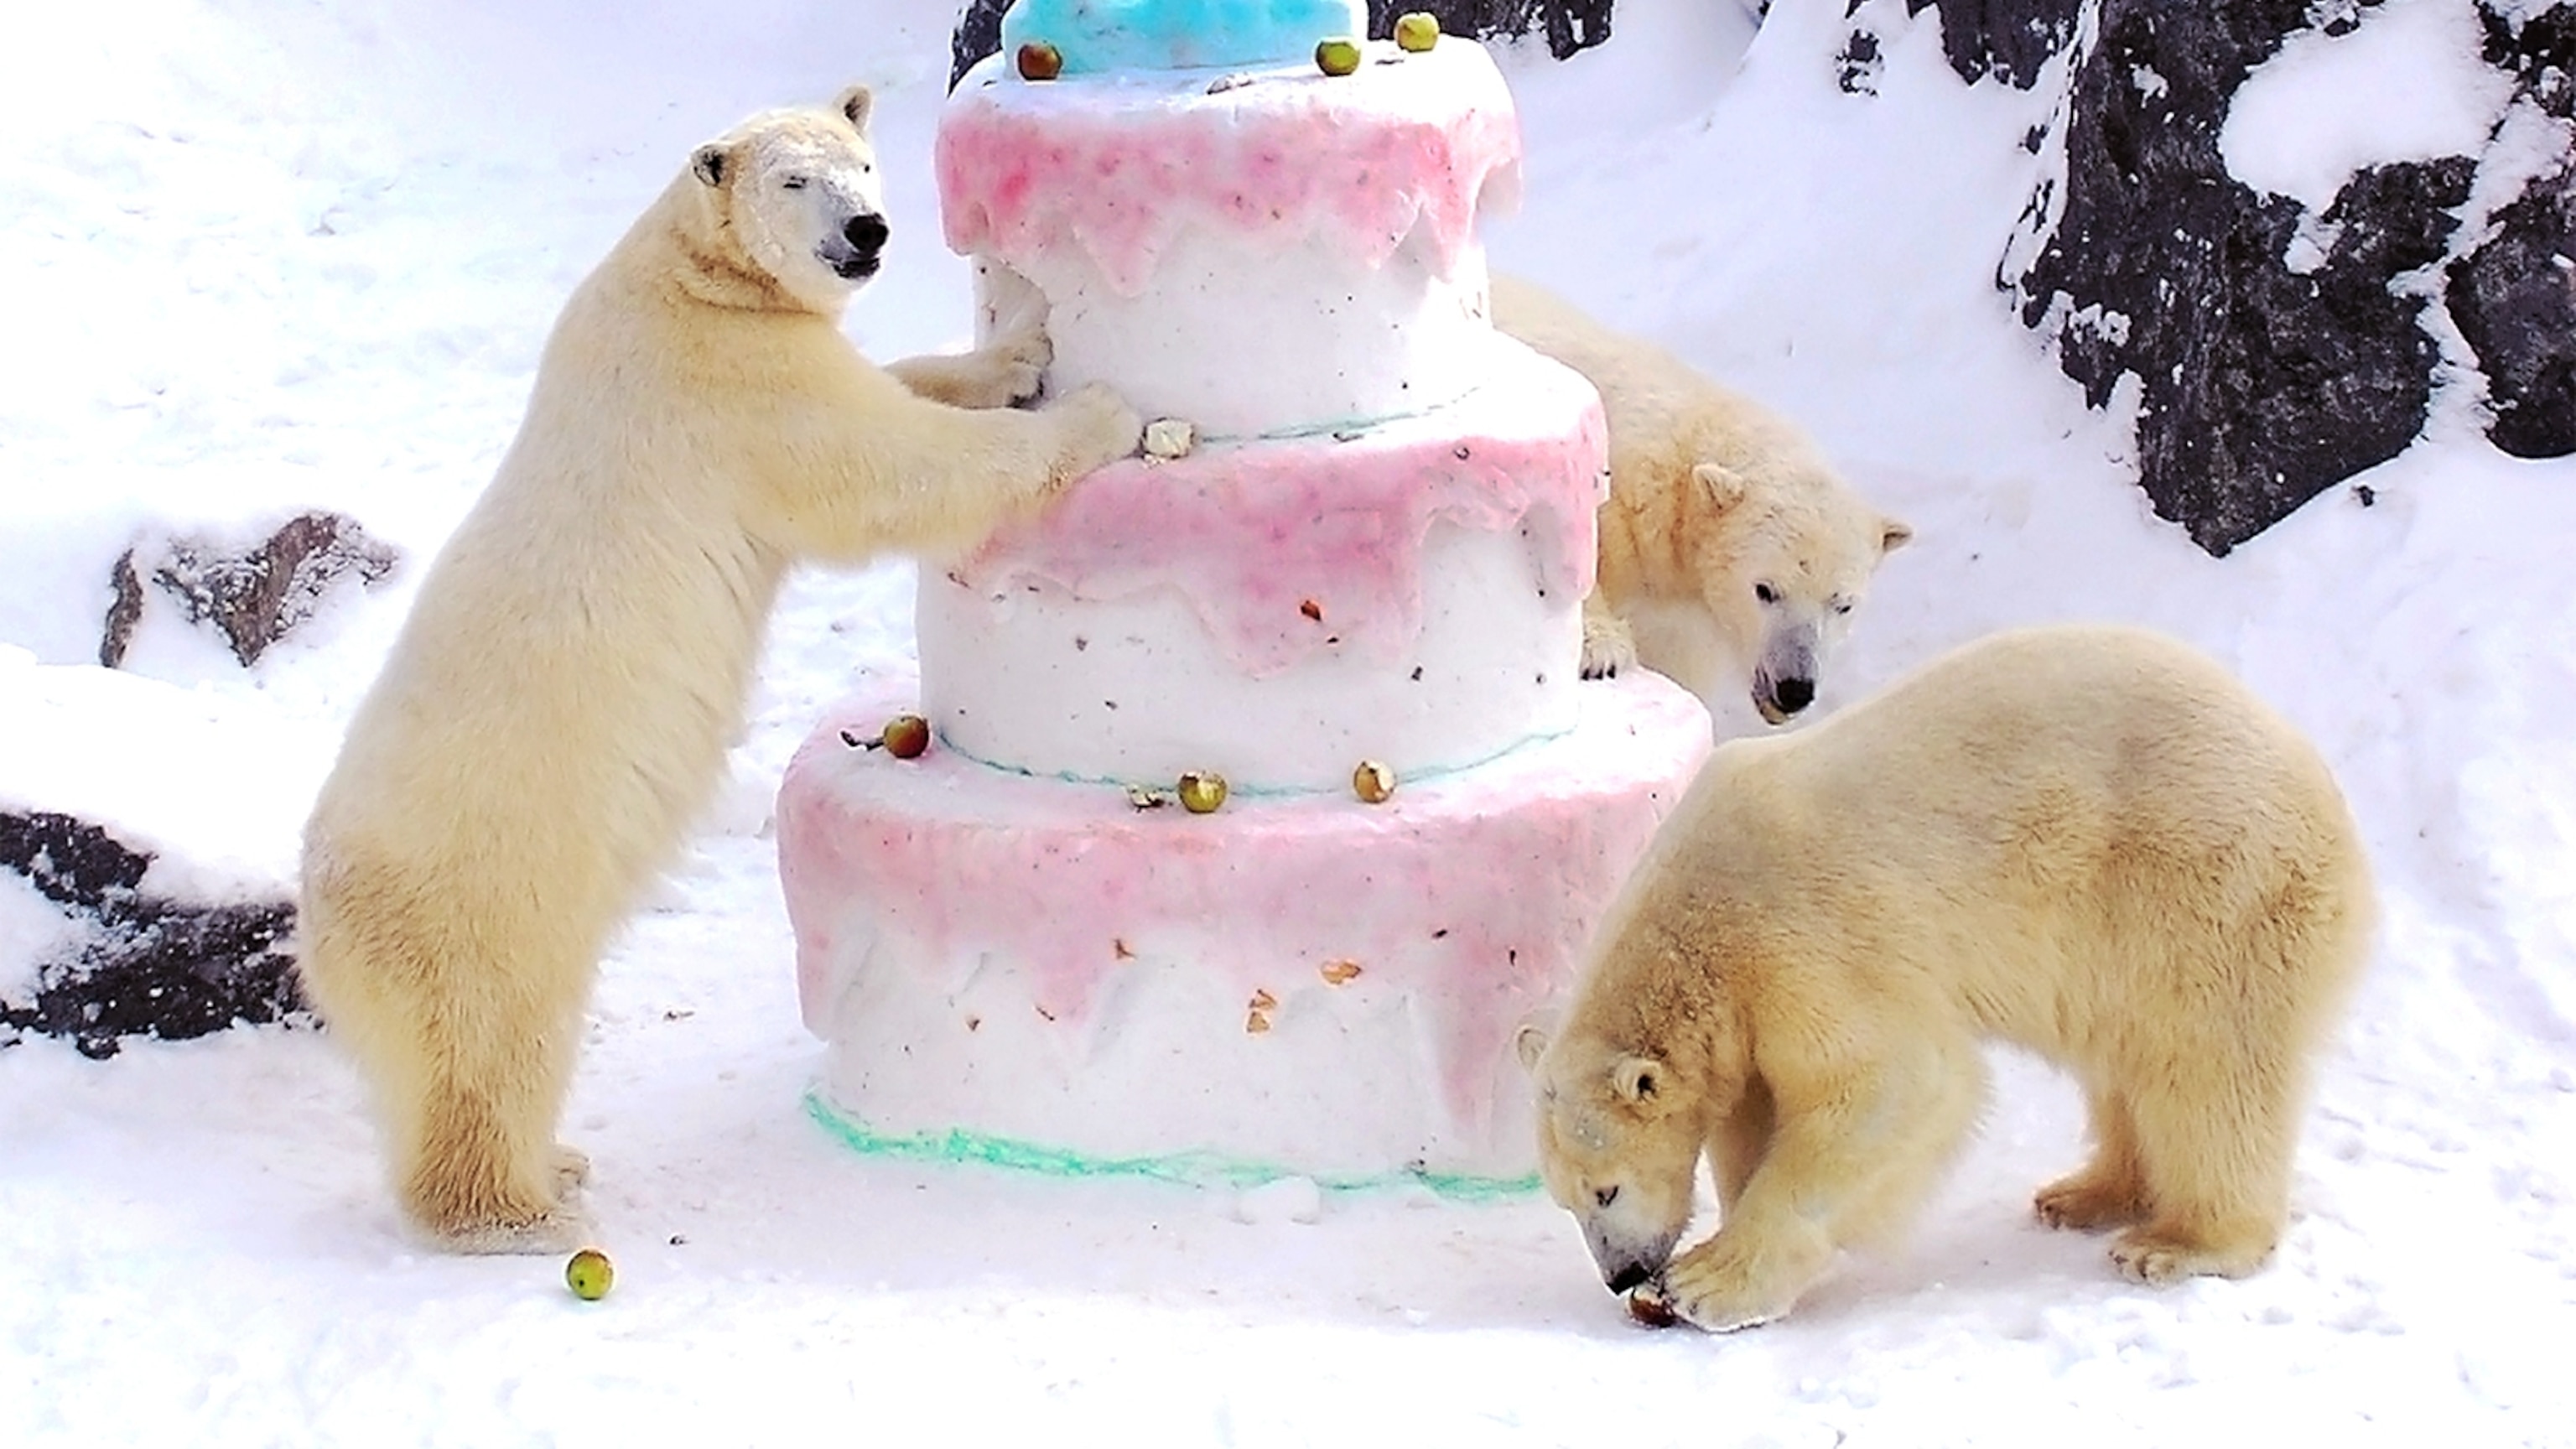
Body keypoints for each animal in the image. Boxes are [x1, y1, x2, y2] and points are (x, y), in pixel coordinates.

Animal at [296, 86, 1143, 1253]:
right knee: (498, 1047)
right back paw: (523, 1208)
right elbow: (888, 464)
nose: (867, 231)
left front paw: (1015, 353)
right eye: (794, 180)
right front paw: (1097, 412)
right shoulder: (733, 382)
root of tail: (319, 924)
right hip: (491, 899)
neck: (685, 278)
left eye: (861, 164)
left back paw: (554, 1165)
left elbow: (890, 390)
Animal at [1515, 622, 2374, 1331]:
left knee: (2203, 1067)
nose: (1622, 1276)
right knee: (2122, 1054)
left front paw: (1708, 1284)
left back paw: (2178, 1242)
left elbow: (1894, 1085)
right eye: (1564, 1198)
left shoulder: (1804, 946)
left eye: (1606, 1189)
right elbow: (1752, 1110)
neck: (1693, 924)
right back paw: (2086, 1193)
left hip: (2204, 887)